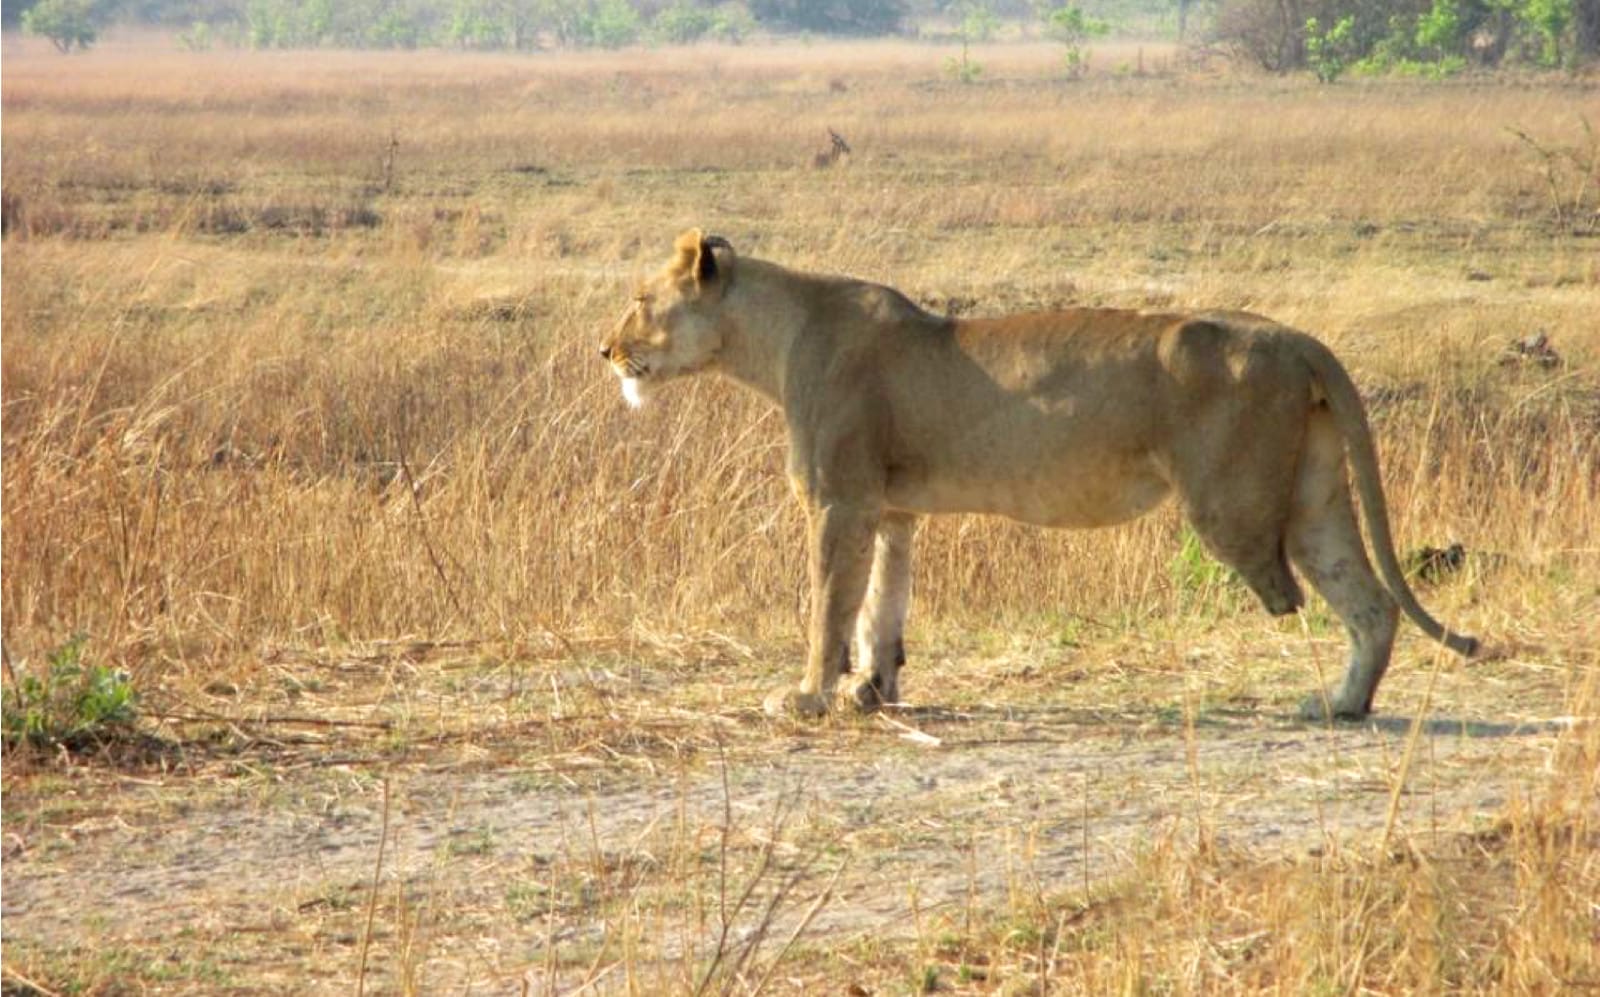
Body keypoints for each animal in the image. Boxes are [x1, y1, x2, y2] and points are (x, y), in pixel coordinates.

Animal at [600, 229, 1480, 720]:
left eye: (641, 299)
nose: (603, 350)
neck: (772, 342)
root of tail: (1296, 336)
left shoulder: (838, 500)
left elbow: (828, 607)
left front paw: (810, 697)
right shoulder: (890, 508)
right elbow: (882, 605)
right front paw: (871, 691)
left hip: (1238, 509)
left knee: (1312, 594)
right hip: (1315, 498)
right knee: (1370, 603)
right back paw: (1341, 705)